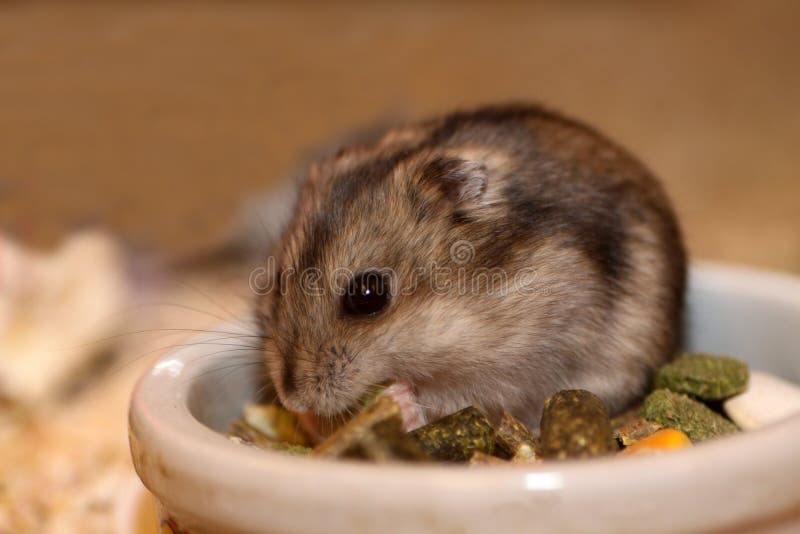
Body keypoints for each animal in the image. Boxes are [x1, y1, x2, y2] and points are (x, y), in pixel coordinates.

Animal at [256, 104, 686, 429]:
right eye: (276, 281)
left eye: (369, 294)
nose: (293, 401)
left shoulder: (516, 368)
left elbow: (451, 398)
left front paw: (398, 398)